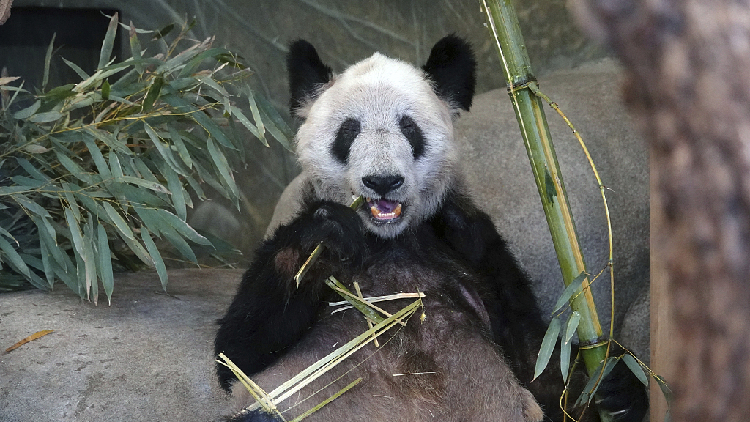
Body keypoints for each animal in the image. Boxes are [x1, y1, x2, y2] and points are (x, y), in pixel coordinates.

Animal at [214, 36, 648, 422]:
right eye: (349, 131)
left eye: (409, 128)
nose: (383, 181)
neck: (386, 239)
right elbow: (239, 352)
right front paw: (326, 234)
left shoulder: (469, 242)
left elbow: (538, 364)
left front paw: (617, 385)